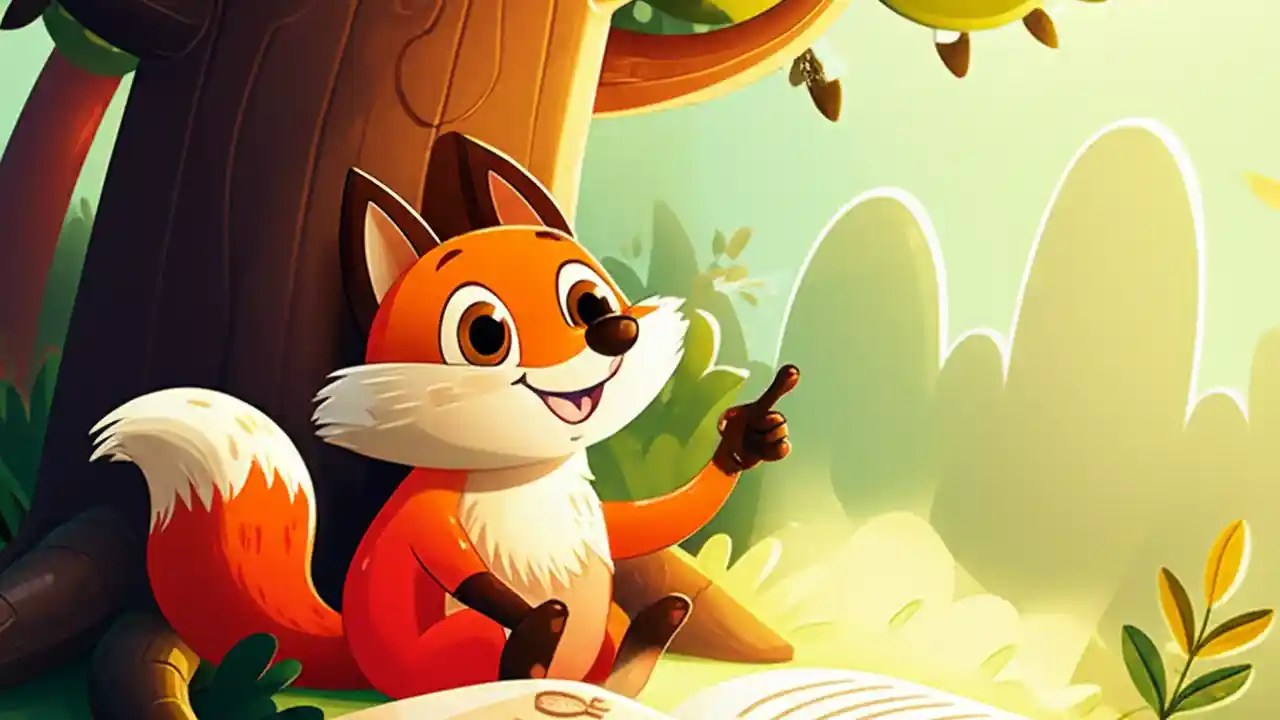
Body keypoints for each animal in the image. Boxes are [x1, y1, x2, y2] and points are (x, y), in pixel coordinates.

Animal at [87, 132, 800, 701]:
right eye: (485, 334)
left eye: (589, 301)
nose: (614, 332)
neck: (525, 471)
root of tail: (353, 653)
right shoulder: (430, 510)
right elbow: (453, 560)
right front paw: (523, 611)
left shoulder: (600, 517)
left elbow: (653, 522)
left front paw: (748, 437)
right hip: (442, 657)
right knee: (496, 657)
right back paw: (535, 650)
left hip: (600, 633)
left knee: (608, 659)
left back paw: (645, 640)